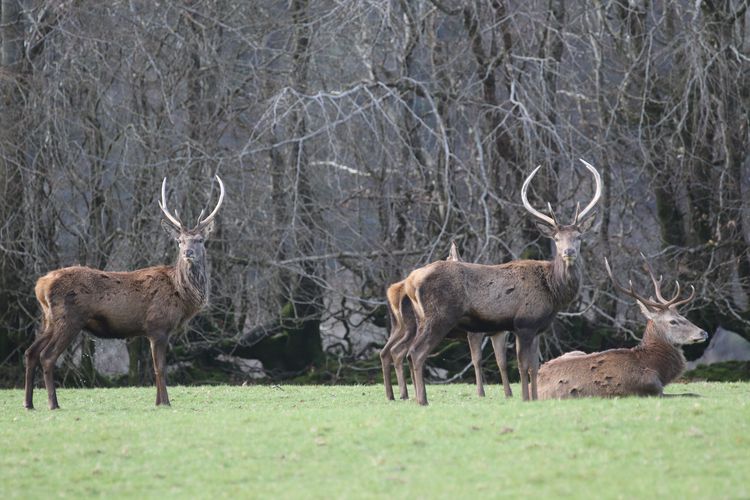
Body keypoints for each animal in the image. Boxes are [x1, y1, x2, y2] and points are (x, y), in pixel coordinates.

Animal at [24, 175, 225, 410]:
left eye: (200, 240)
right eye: (179, 241)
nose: (188, 253)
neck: (182, 296)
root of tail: (41, 285)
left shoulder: (151, 332)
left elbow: (155, 369)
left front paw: (158, 402)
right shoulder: (158, 326)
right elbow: (160, 368)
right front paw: (165, 403)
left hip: (48, 319)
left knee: (30, 352)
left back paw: (28, 403)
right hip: (69, 319)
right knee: (47, 356)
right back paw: (53, 404)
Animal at [381, 242, 513, 401]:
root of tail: (393, 291)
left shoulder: (499, 332)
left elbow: (502, 362)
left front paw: (509, 393)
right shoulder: (475, 333)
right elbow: (477, 360)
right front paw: (481, 393)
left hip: (399, 326)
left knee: (386, 352)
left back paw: (395, 394)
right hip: (413, 326)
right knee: (399, 351)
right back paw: (406, 394)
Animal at [403, 159, 602, 405]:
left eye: (579, 237)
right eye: (556, 238)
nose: (568, 252)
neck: (553, 292)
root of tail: (411, 281)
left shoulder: (537, 328)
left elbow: (535, 366)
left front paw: (535, 398)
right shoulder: (524, 323)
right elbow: (523, 365)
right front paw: (525, 398)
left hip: (423, 319)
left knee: (409, 353)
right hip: (439, 316)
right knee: (417, 352)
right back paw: (422, 400)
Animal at [537, 254, 708, 399]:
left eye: (683, 316)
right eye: (673, 321)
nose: (703, 332)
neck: (656, 368)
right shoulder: (651, 390)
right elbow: (690, 394)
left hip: (576, 352)